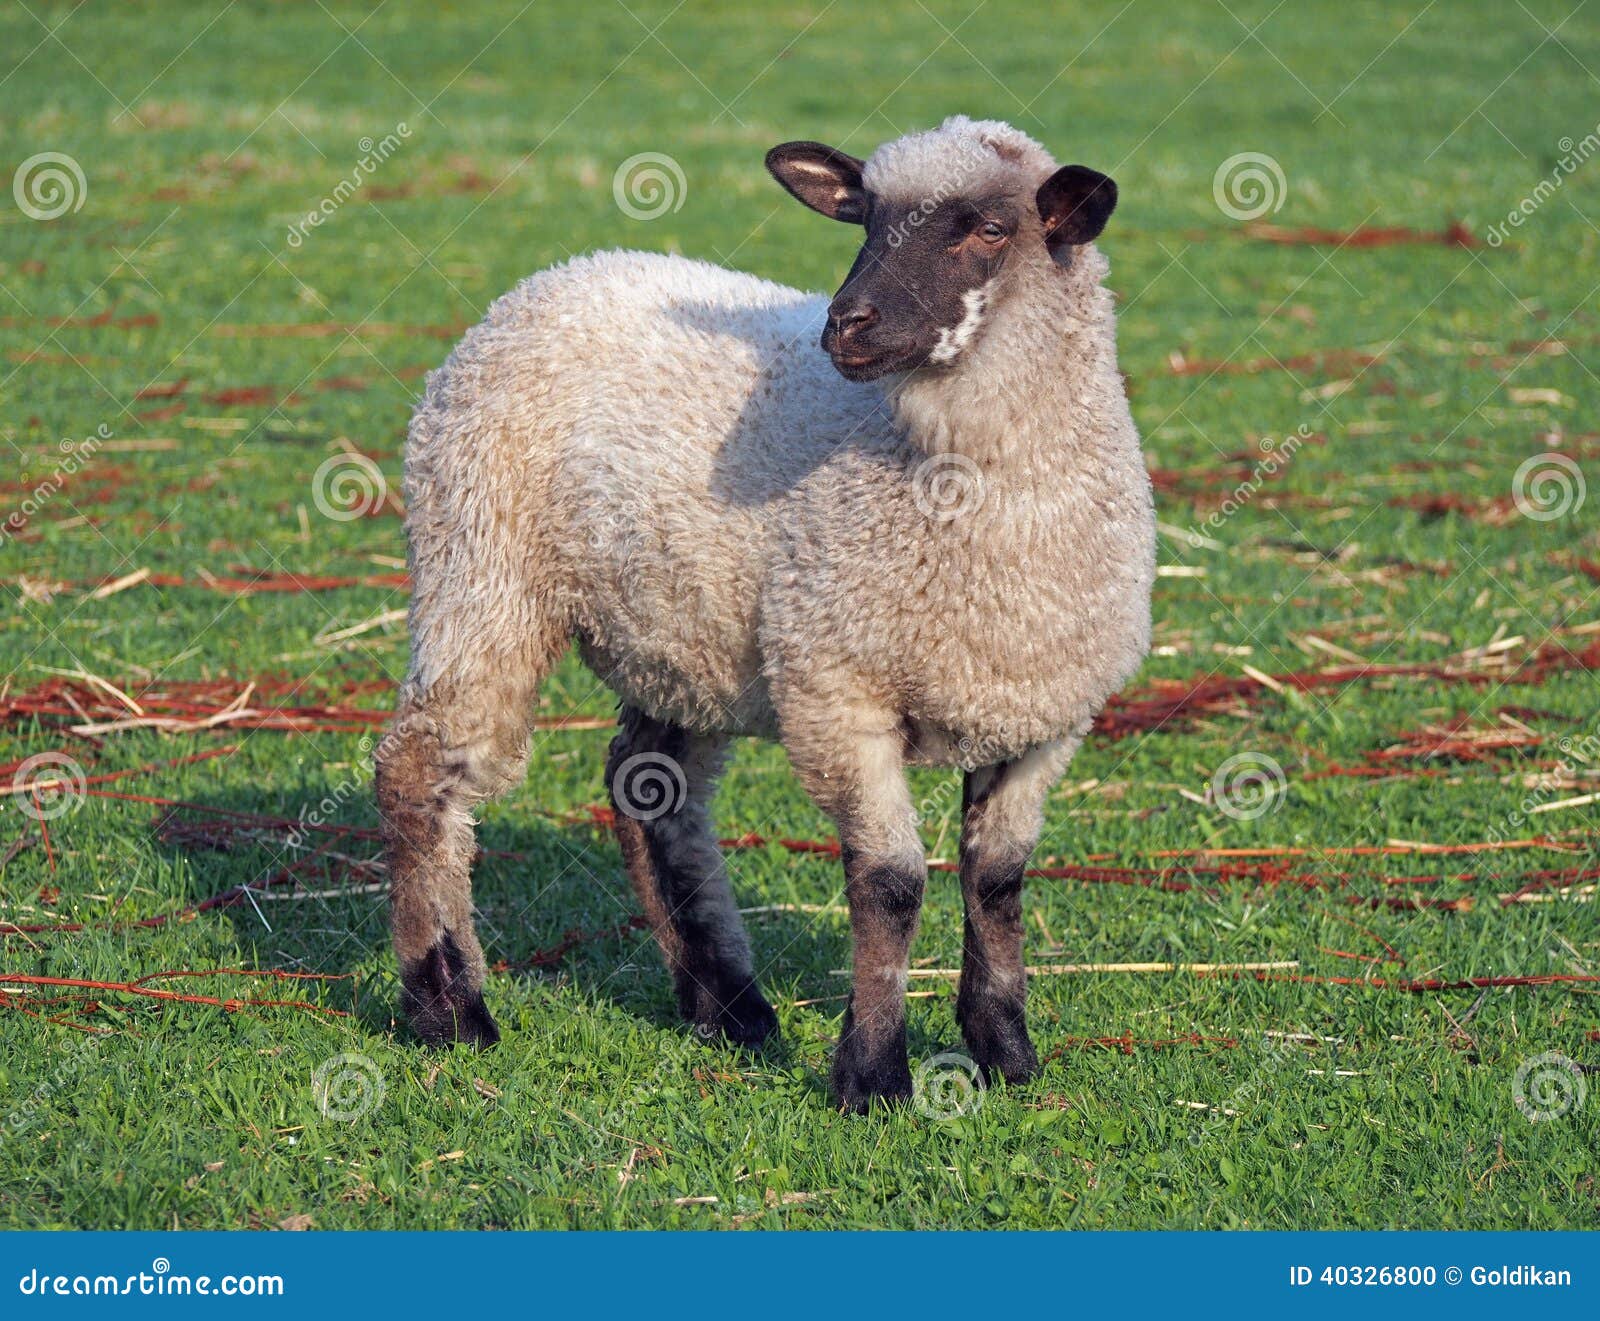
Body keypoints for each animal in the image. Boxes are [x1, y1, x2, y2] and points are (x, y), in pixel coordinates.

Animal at [375, 115, 1156, 1112]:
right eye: (864, 217)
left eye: (987, 229)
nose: (846, 325)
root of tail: (557, 274)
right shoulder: (838, 692)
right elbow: (891, 884)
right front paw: (873, 1075)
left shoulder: (1045, 715)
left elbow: (998, 881)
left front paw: (1007, 1052)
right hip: (479, 568)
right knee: (420, 769)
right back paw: (449, 1007)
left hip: (675, 629)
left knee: (649, 788)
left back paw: (728, 1004)